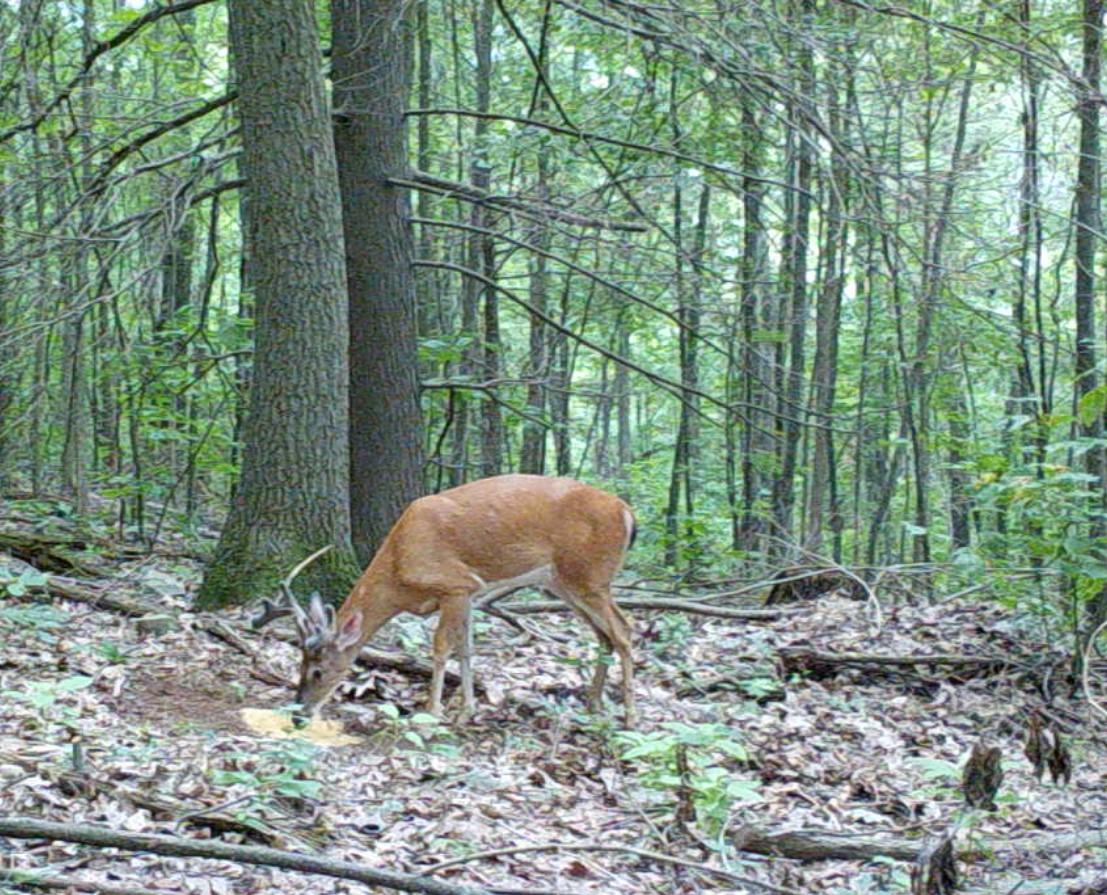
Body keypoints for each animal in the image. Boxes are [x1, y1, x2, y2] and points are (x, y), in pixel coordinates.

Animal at [252, 474, 638, 727]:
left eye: (317, 670)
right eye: (299, 665)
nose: (299, 714)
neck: (399, 566)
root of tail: (627, 511)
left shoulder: (453, 584)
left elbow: (441, 648)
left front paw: (432, 711)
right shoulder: (467, 593)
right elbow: (466, 648)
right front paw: (465, 710)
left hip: (589, 577)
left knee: (624, 630)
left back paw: (630, 717)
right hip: (563, 583)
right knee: (604, 634)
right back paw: (593, 704)